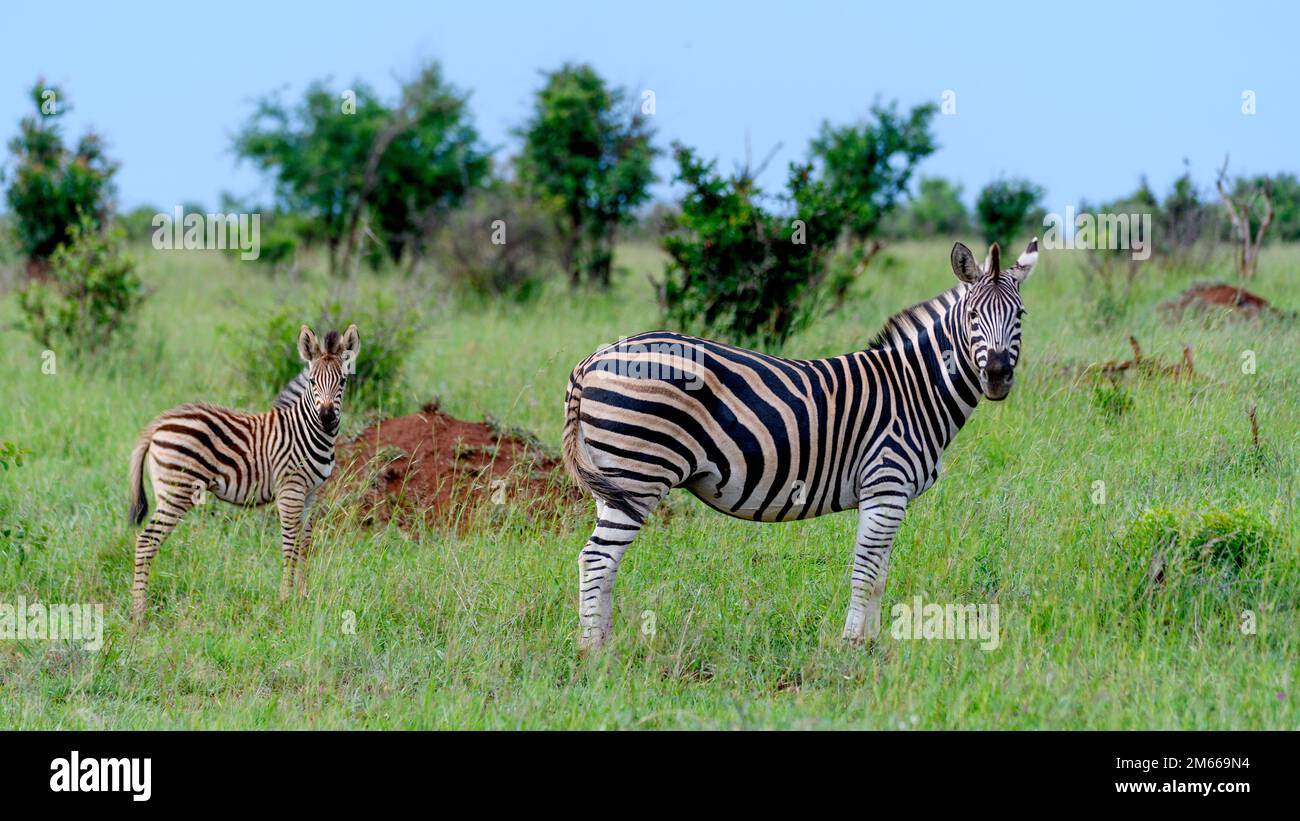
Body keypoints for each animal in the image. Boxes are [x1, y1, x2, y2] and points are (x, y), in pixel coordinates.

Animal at [126, 324, 360, 620]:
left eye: (342, 382)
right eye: (312, 383)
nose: (328, 418)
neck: (306, 430)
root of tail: (159, 423)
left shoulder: (310, 495)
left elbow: (305, 544)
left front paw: (303, 597)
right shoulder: (290, 491)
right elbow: (289, 545)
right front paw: (285, 602)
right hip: (176, 492)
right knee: (147, 541)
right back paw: (139, 614)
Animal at [561, 240, 1037, 652]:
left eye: (1021, 315)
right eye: (972, 315)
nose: (998, 376)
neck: (914, 388)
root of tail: (594, 357)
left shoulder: (891, 497)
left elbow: (881, 574)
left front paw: (871, 645)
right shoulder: (885, 486)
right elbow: (866, 572)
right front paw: (852, 646)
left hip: (614, 481)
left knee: (604, 563)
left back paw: (604, 643)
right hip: (638, 474)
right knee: (596, 559)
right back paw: (594, 654)